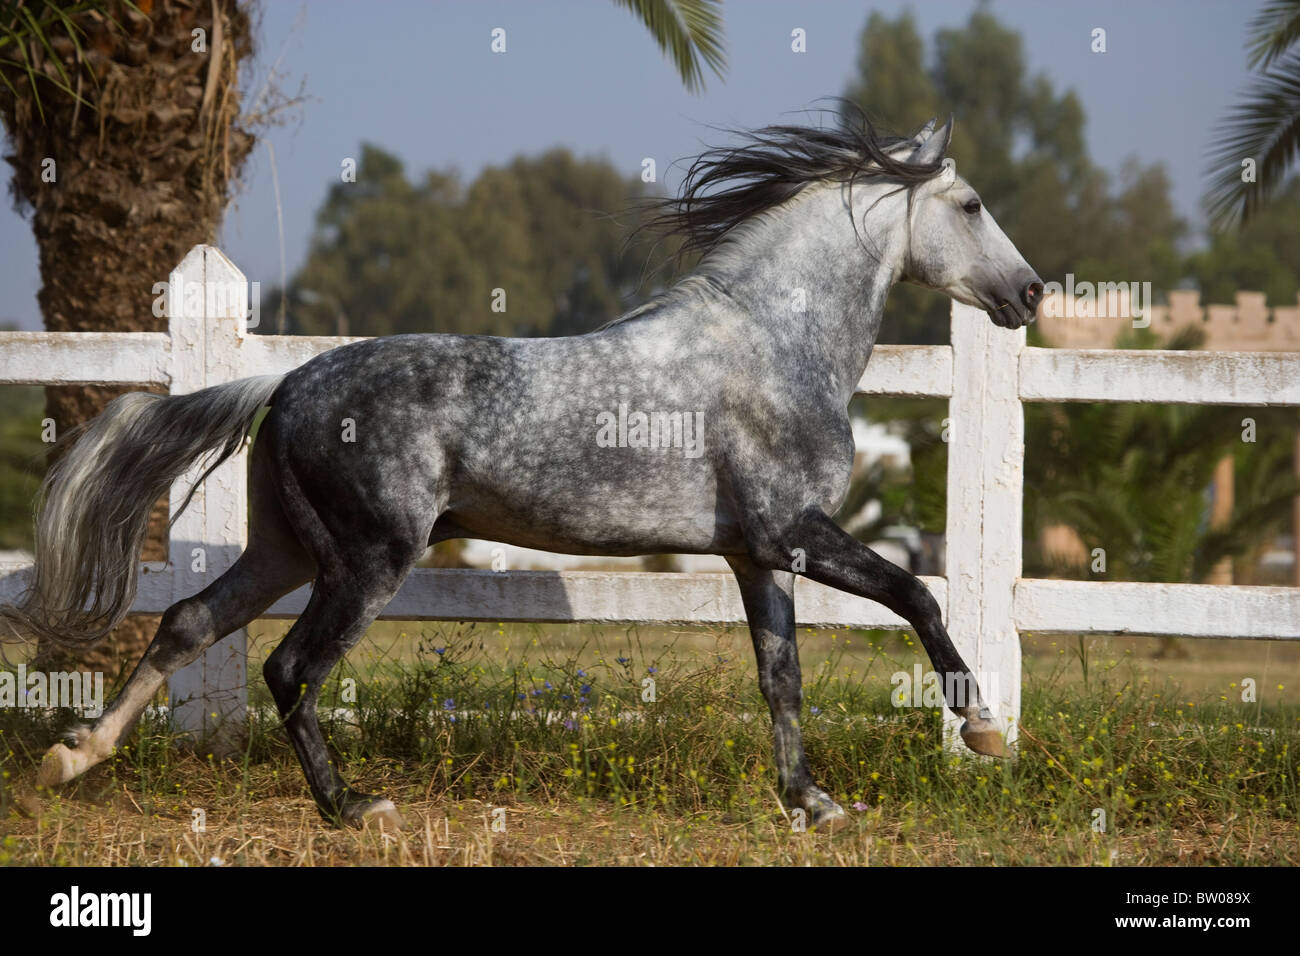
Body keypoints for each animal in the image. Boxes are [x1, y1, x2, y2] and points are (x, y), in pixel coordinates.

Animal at [4, 113, 1043, 832]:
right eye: (972, 206)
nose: (1031, 293)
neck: (770, 345)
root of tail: (288, 380)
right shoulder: (796, 532)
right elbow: (917, 594)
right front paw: (983, 733)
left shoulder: (757, 554)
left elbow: (780, 677)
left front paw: (812, 803)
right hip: (368, 561)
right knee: (291, 667)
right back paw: (355, 809)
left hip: (289, 549)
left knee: (187, 623)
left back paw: (73, 758)